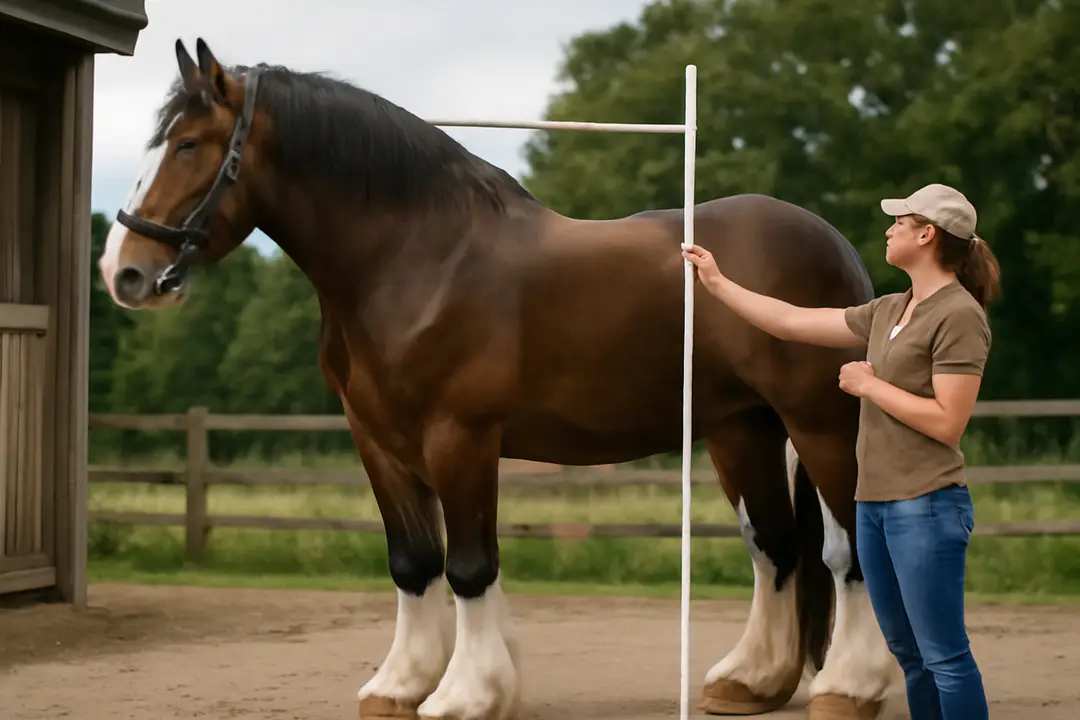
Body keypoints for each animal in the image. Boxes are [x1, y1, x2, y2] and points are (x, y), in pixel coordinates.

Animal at [98, 38, 898, 720]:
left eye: (189, 145)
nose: (123, 272)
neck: (418, 257)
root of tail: (833, 244)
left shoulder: (460, 439)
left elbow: (469, 567)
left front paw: (465, 694)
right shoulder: (378, 441)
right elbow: (414, 562)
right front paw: (400, 684)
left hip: (820, 423)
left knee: (850, 546)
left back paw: (849, 687)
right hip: (742, 430)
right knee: (776, 544)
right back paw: (751, 681)